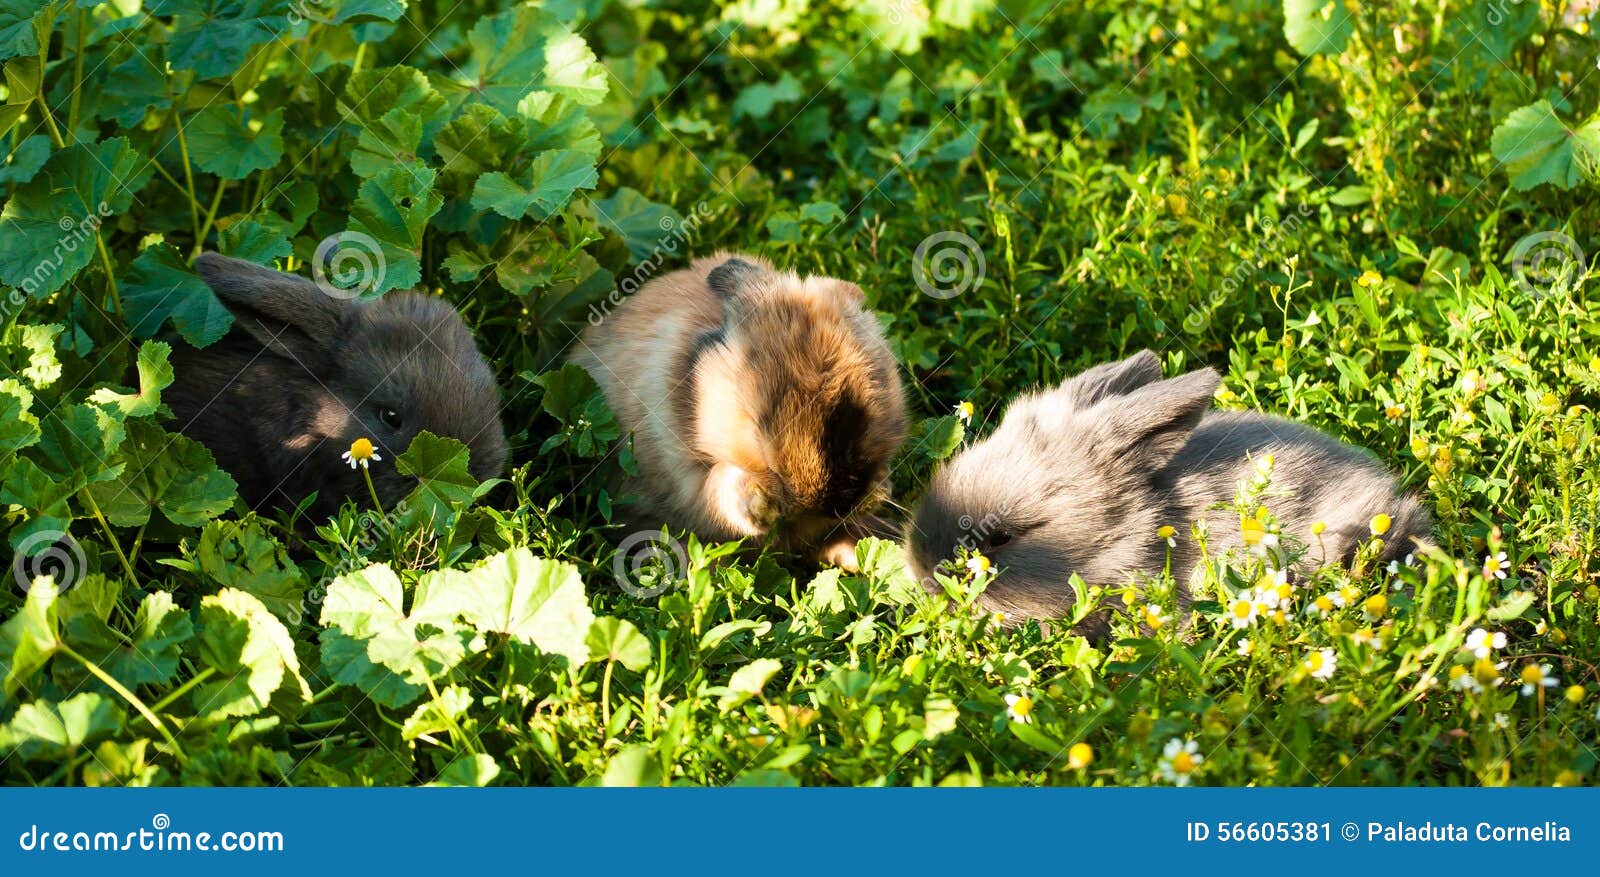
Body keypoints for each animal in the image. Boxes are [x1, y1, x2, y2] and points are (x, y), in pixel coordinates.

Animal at [570, 252, 907, 570]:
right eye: (757, 426)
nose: (826, 502)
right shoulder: (691, 476)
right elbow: (724, 485)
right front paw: (763, 506)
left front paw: (880, 492)